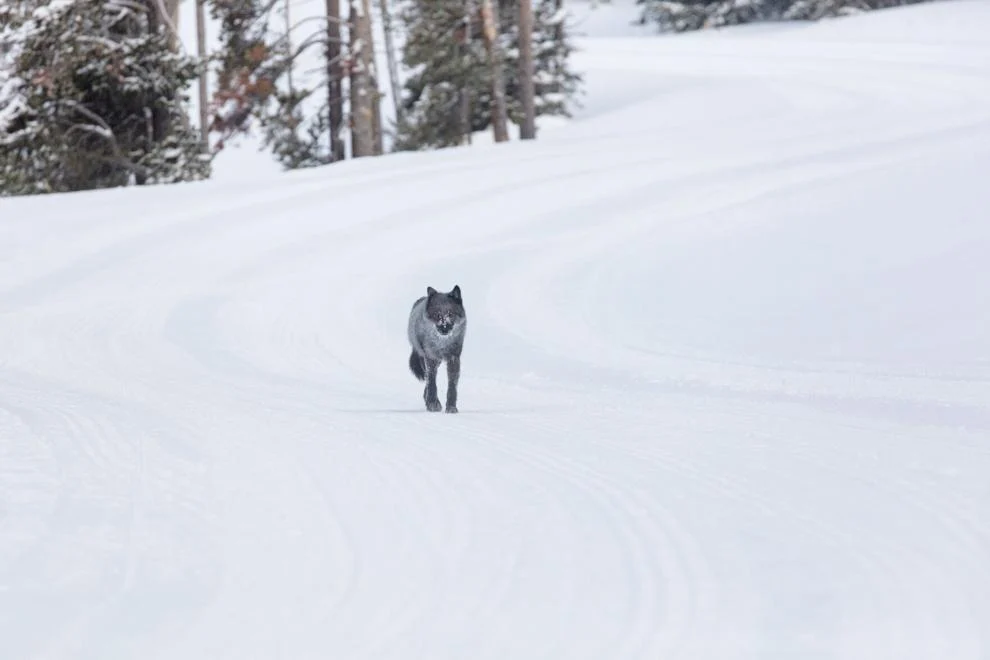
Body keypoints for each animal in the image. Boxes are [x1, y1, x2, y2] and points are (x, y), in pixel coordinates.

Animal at [407, 285, 466, 413]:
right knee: (427, 380)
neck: (442, 344)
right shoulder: (430, 359)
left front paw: (451, 407)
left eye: (450, 314)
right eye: (437, 315)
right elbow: (432, 383)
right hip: (425, 359)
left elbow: (452, 386)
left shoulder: (454, 359)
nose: (444, 328)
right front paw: (432, 404)